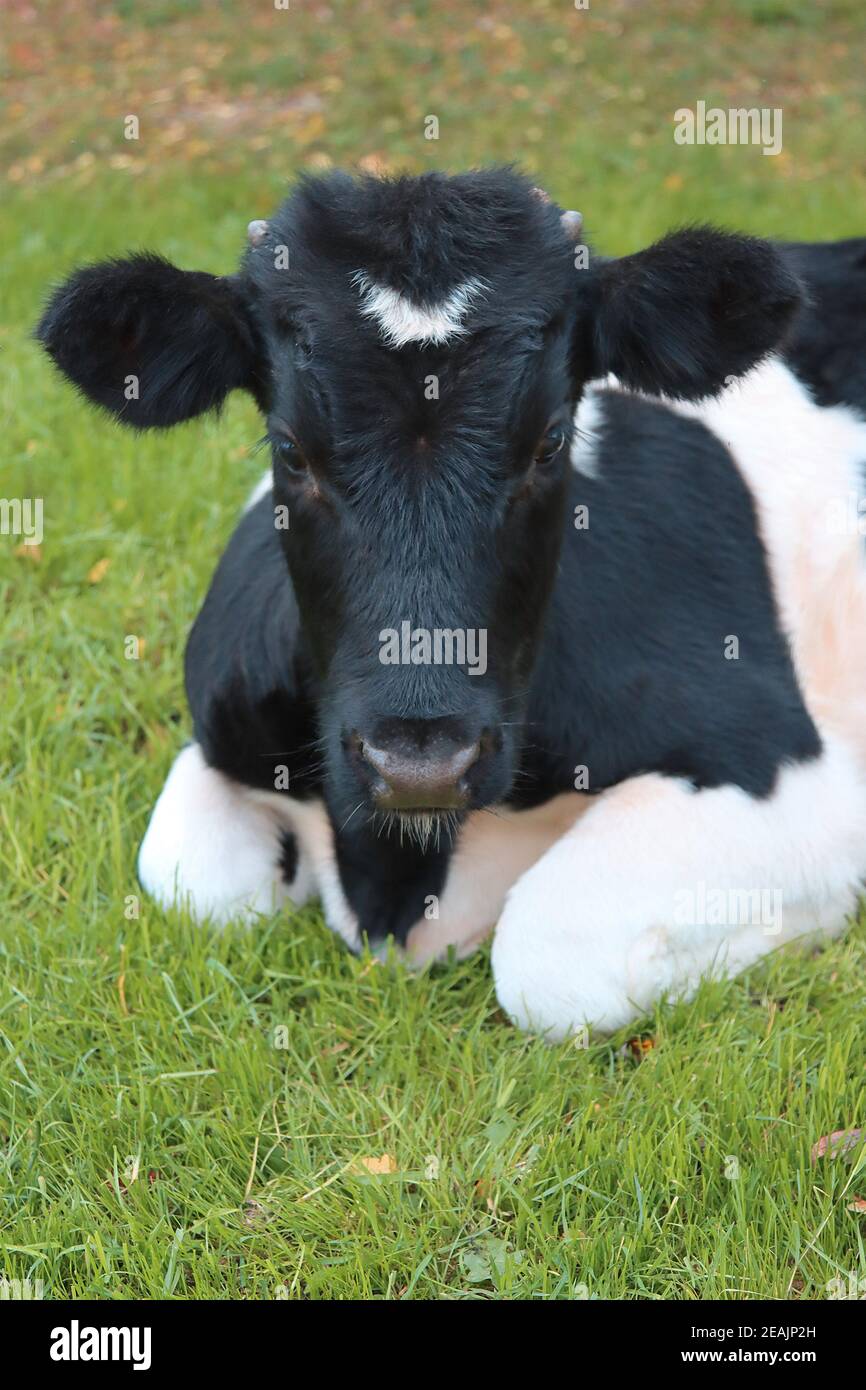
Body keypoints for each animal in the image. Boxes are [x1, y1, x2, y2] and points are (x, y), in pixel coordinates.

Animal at [37, 168, 866, 1038]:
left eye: (551, 441)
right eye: (291, 450)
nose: (420, 763)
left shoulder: (786, 768)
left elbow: (549, 953)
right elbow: (192, 880)